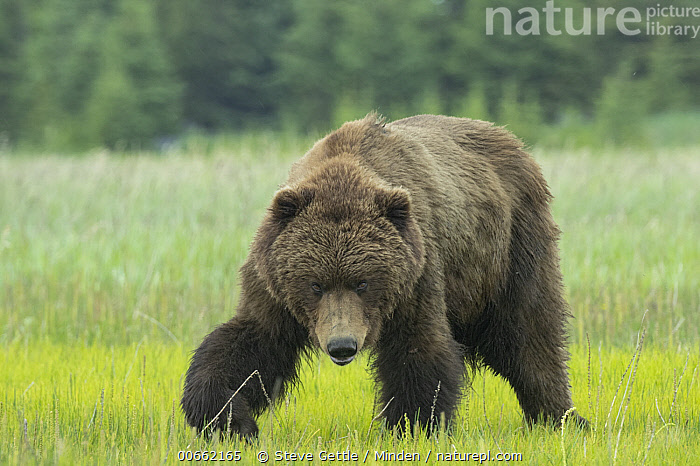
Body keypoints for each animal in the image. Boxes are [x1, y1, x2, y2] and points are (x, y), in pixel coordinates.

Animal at [181, 113, 585, 438]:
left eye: (362, 282)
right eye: (315, 284)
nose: (342, 346)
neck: (343, 173)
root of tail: (512, 140)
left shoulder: (416, 274)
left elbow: (418, 351)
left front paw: (412, 426)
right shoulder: (273, 288)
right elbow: (249, 347)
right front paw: (231, 422)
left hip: (510, 247)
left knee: (528, 333)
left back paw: (561, 418)